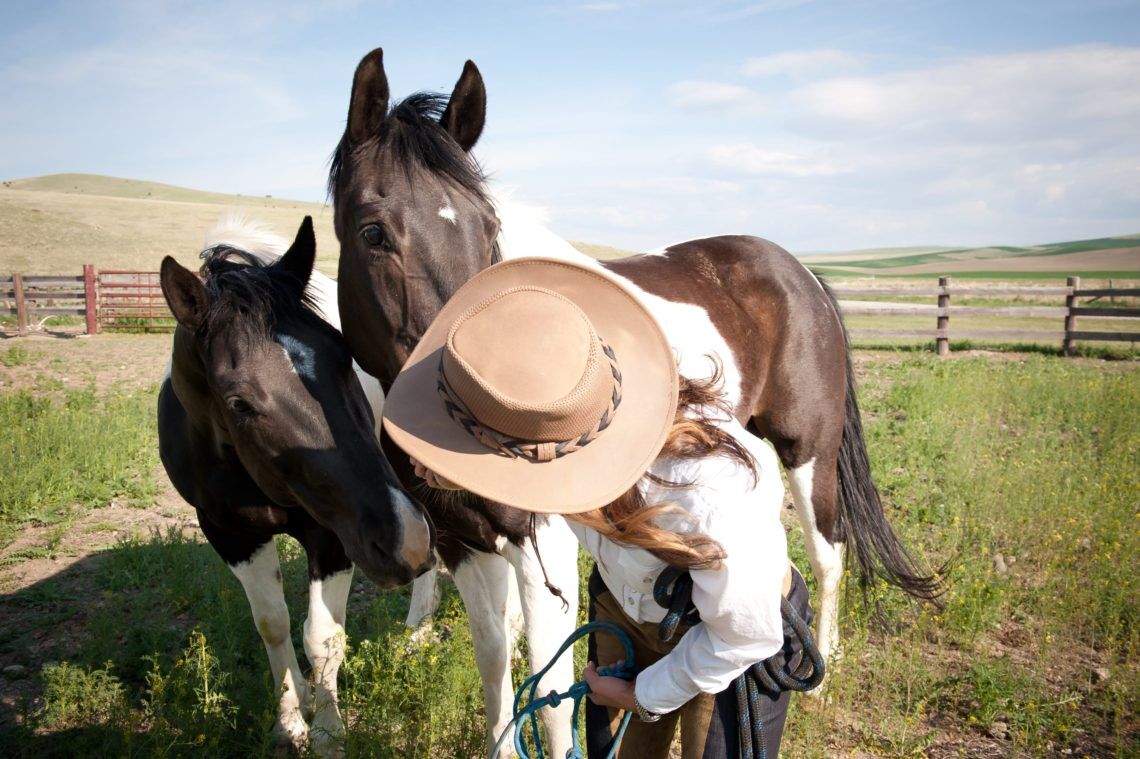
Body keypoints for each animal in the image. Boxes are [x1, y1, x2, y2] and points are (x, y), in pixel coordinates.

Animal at [157, 214, 435, 757]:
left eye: (345, 356)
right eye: (237, 401)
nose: (403, 540)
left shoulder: (335, 534)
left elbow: (322, 637)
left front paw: (329, 733)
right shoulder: (232, 535)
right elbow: (273, 625)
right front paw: (291, 720)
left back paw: (423, 633)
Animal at [329, 48, 941, 752]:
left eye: (489, 230)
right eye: (374, 232)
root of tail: (799, 270)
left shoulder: (546, 549)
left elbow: (550, 698)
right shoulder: (465, 543)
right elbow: (495, 667)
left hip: (808, 451)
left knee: (826, 554)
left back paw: (823, 670)